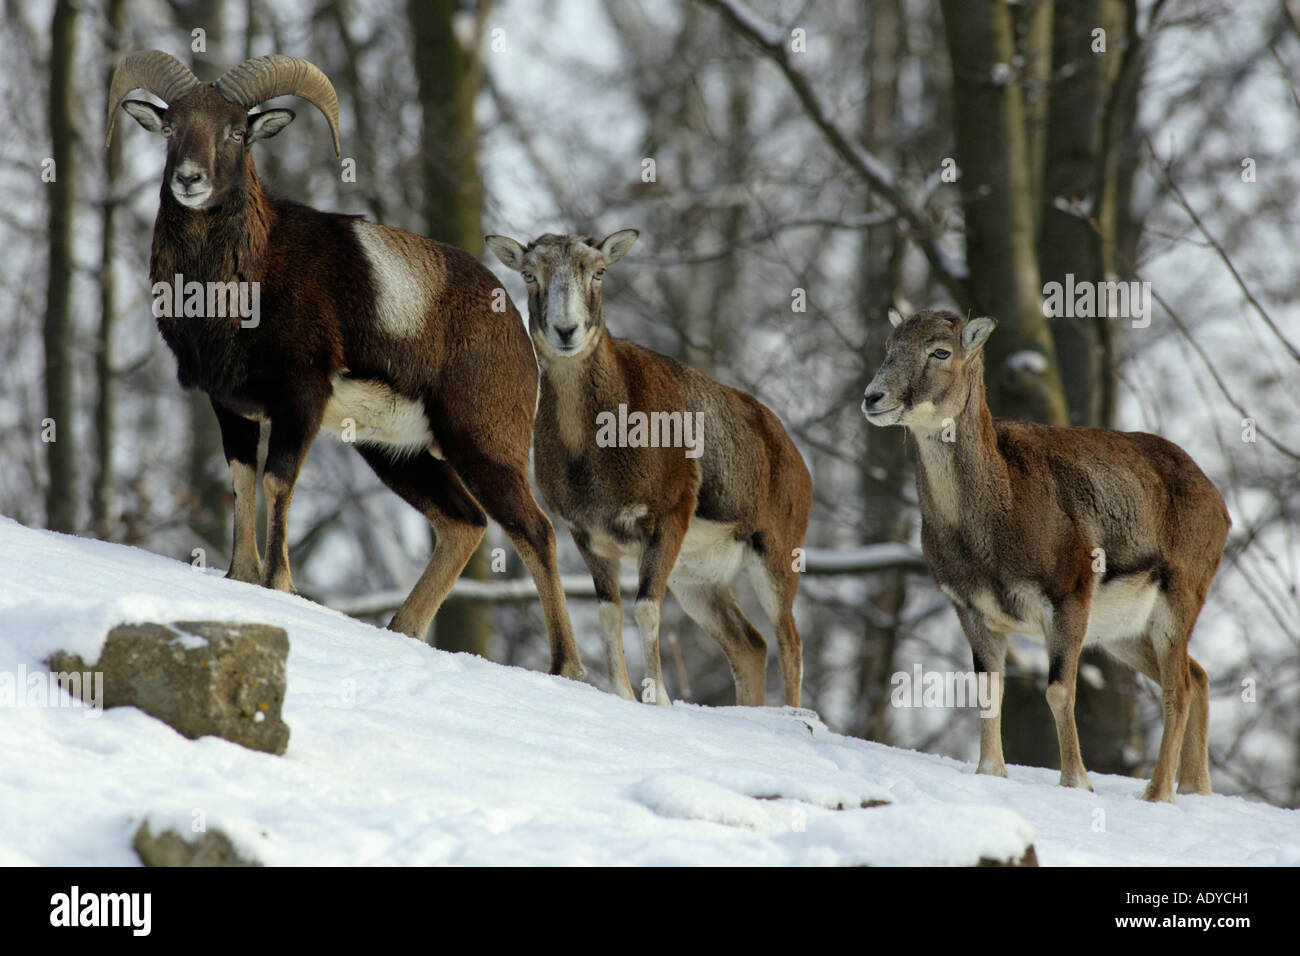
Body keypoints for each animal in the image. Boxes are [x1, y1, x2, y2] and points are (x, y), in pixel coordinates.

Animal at [106, 50, 584, 679]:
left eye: (235, 132)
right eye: (171, 128)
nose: (189, 180)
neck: (243, 278)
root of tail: (521, 336)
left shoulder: (301, 401)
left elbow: (277, 480)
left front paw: (278, 584)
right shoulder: (232, 407)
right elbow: (242, 479)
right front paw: (241, 576)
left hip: (482, 448)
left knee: (536, 531)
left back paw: (566, 667)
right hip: (396, 454)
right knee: (465, 524)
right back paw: (402, 628)